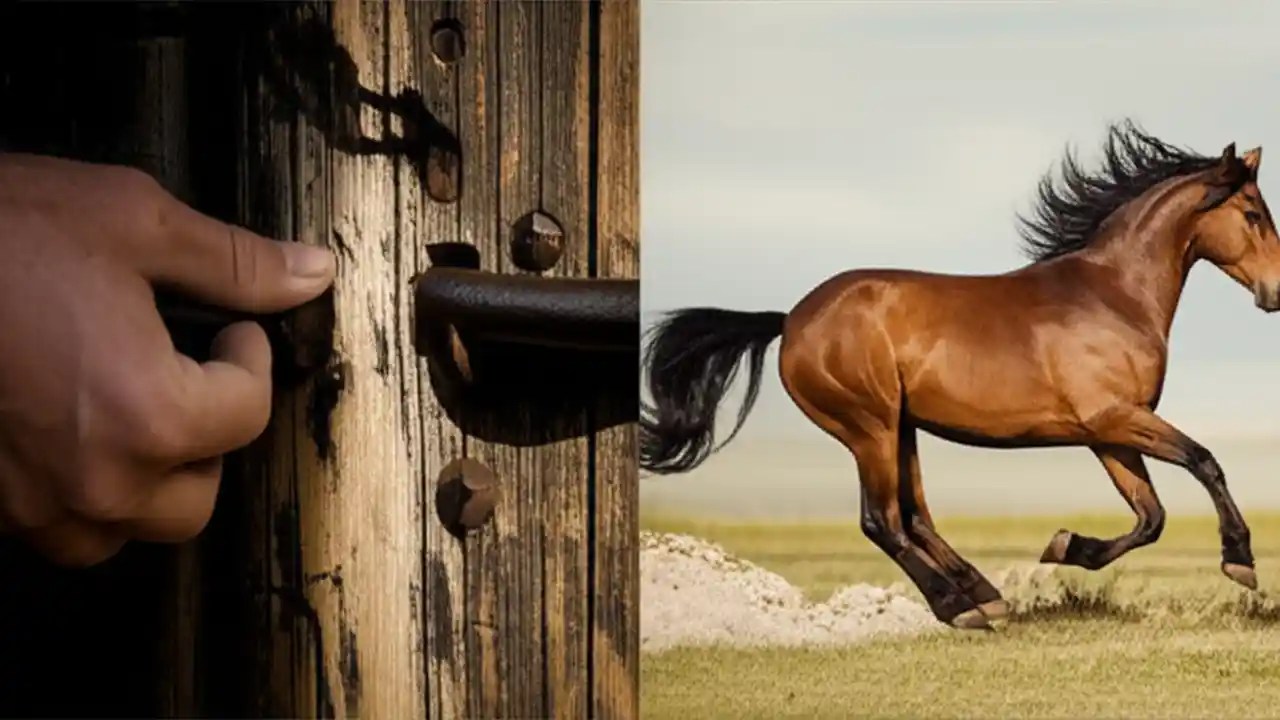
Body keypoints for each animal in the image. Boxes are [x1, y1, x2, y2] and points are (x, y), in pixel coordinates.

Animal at [639, 121, 1279, 630]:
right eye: (1252, 214)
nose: (1275, 292)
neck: (1113, 295)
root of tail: (792, 321)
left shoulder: (1107, 433)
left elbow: (1150, 517)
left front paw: (1065, 546)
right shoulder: (1116, 417)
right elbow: (1202, 461)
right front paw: (1239, 561)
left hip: (901, 428)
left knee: (916, 516)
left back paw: (984, 594)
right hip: (868, 427)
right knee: (883, 521)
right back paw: (959, 609)